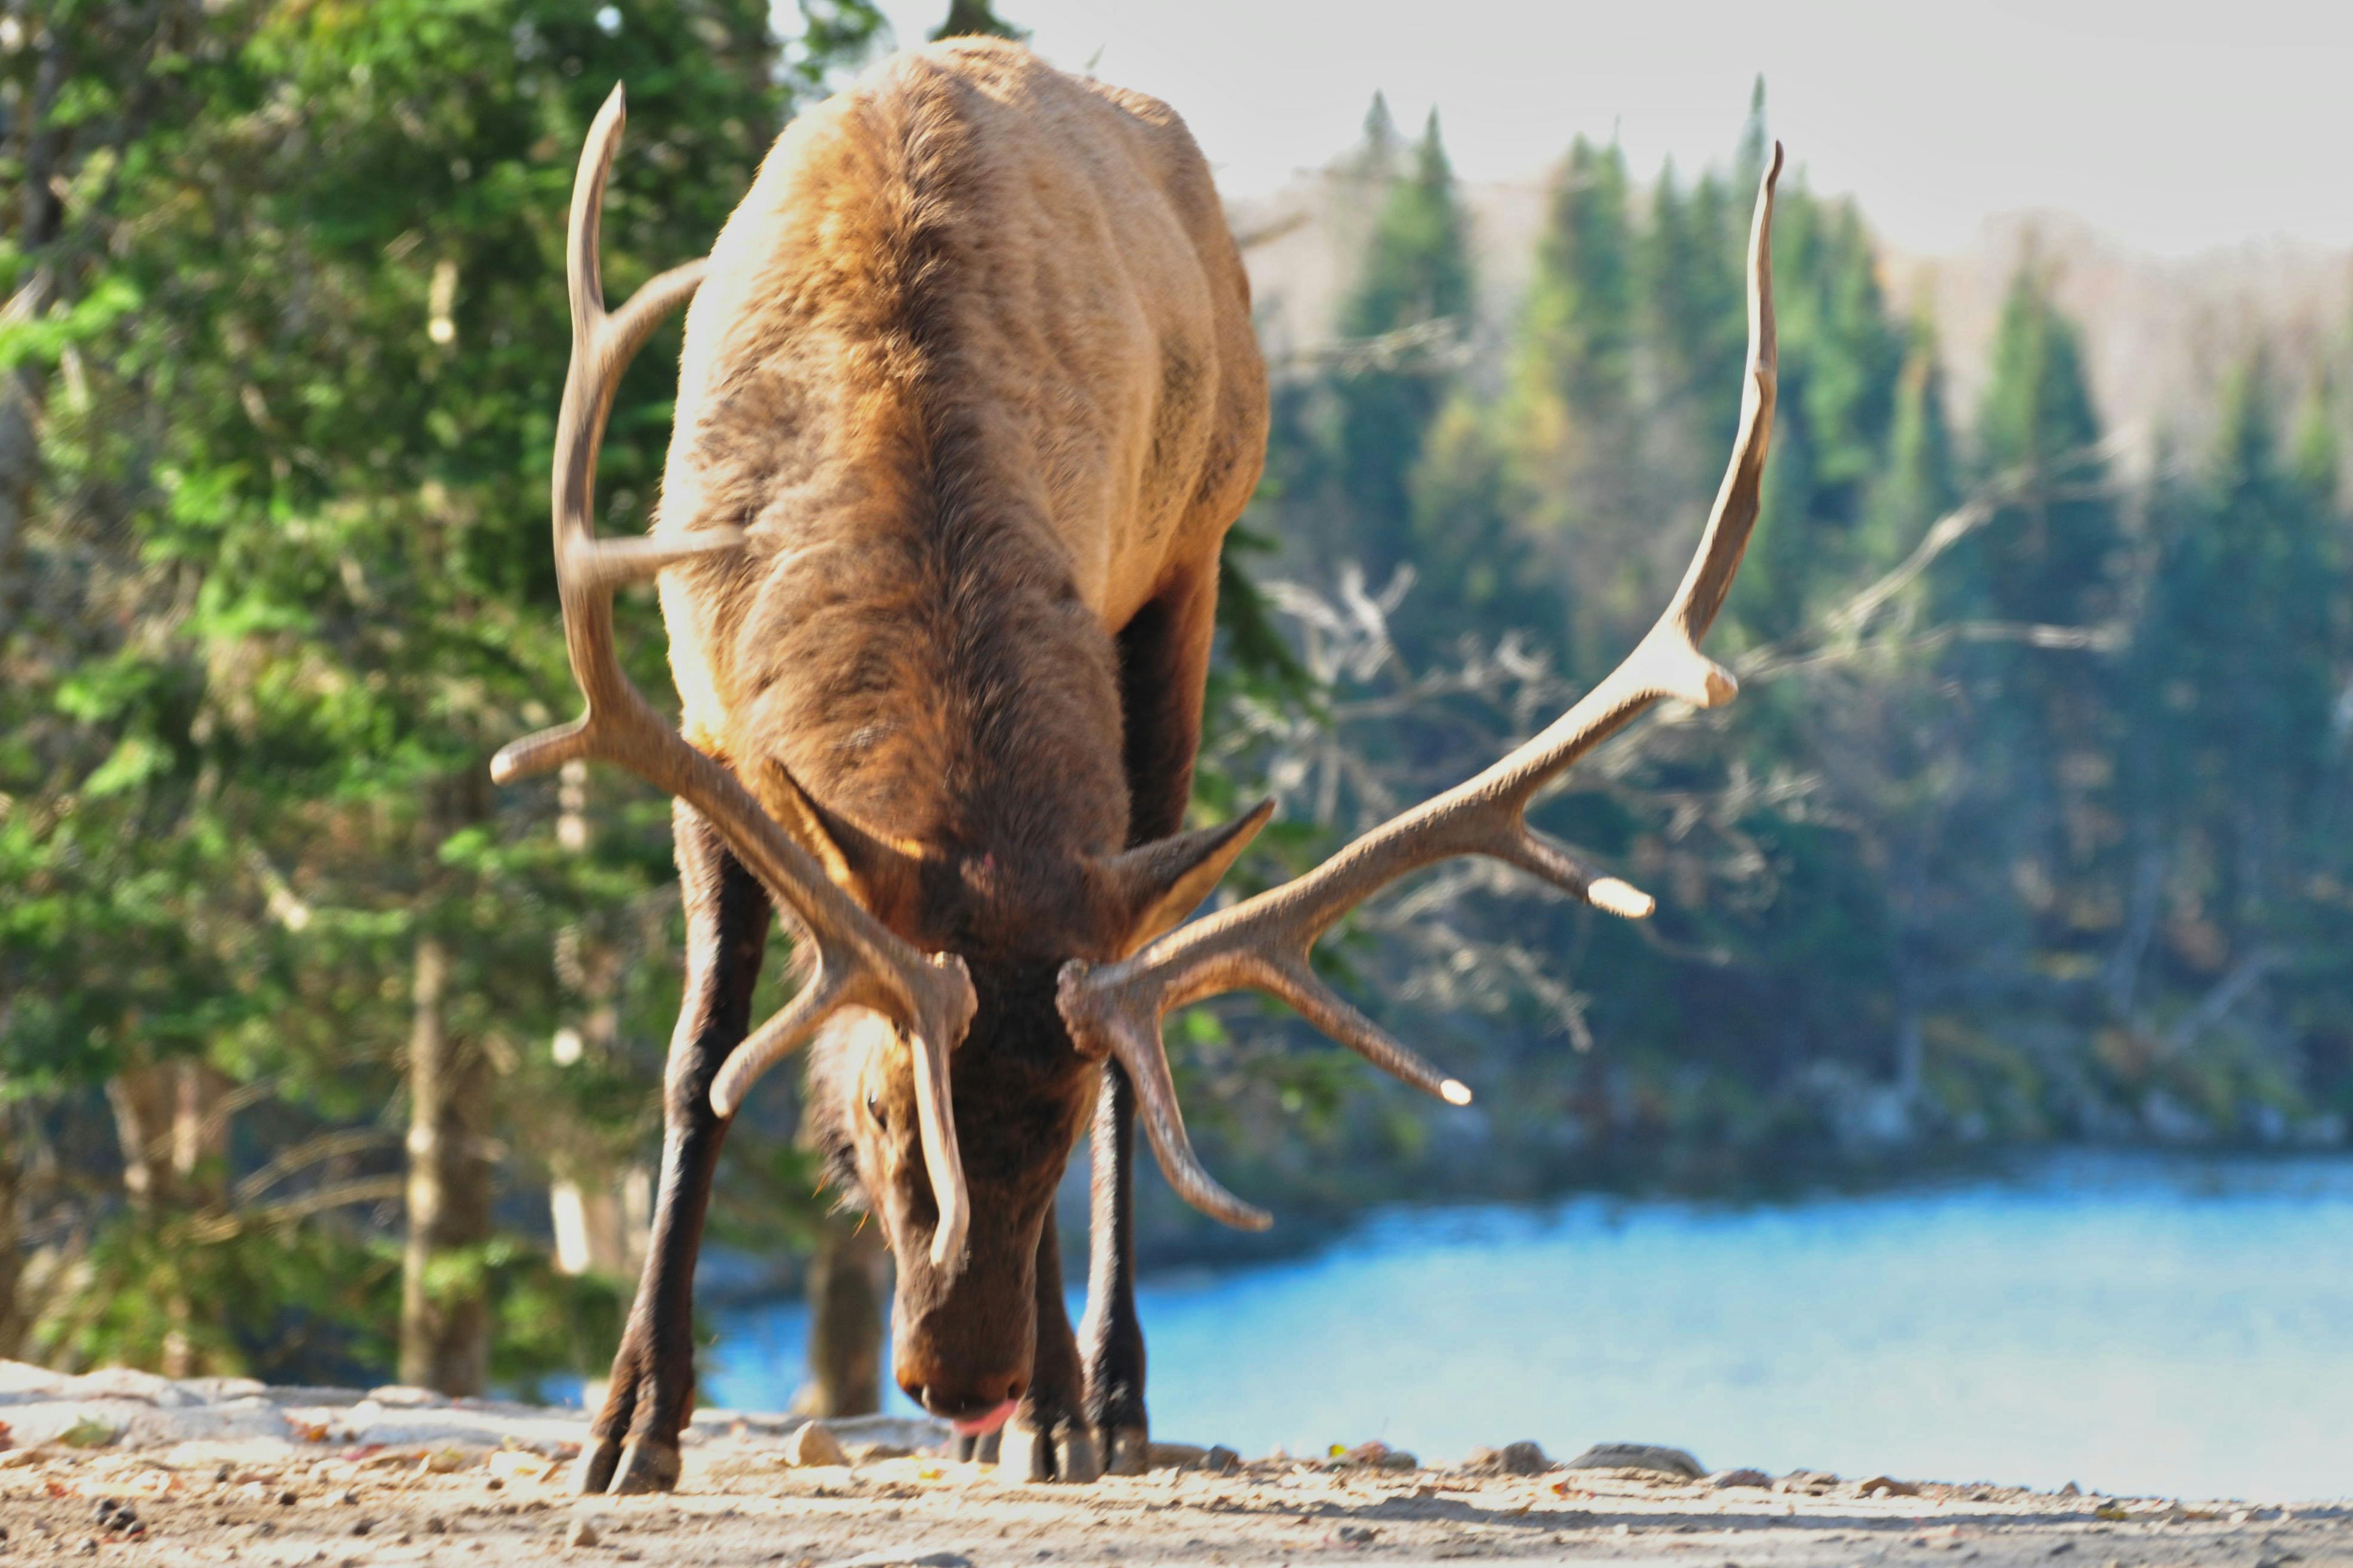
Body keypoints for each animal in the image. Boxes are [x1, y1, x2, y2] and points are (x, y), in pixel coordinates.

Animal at [494, 37, 1780, 1495]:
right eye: (879, 1112)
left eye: (1050, 1128)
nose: (965, 1379)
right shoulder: (705, 728)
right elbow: (700, 1056)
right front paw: (631, 1420)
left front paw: (1058, 1408)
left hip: (1194, 567)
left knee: (1141, 974)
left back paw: (1105, 1393)